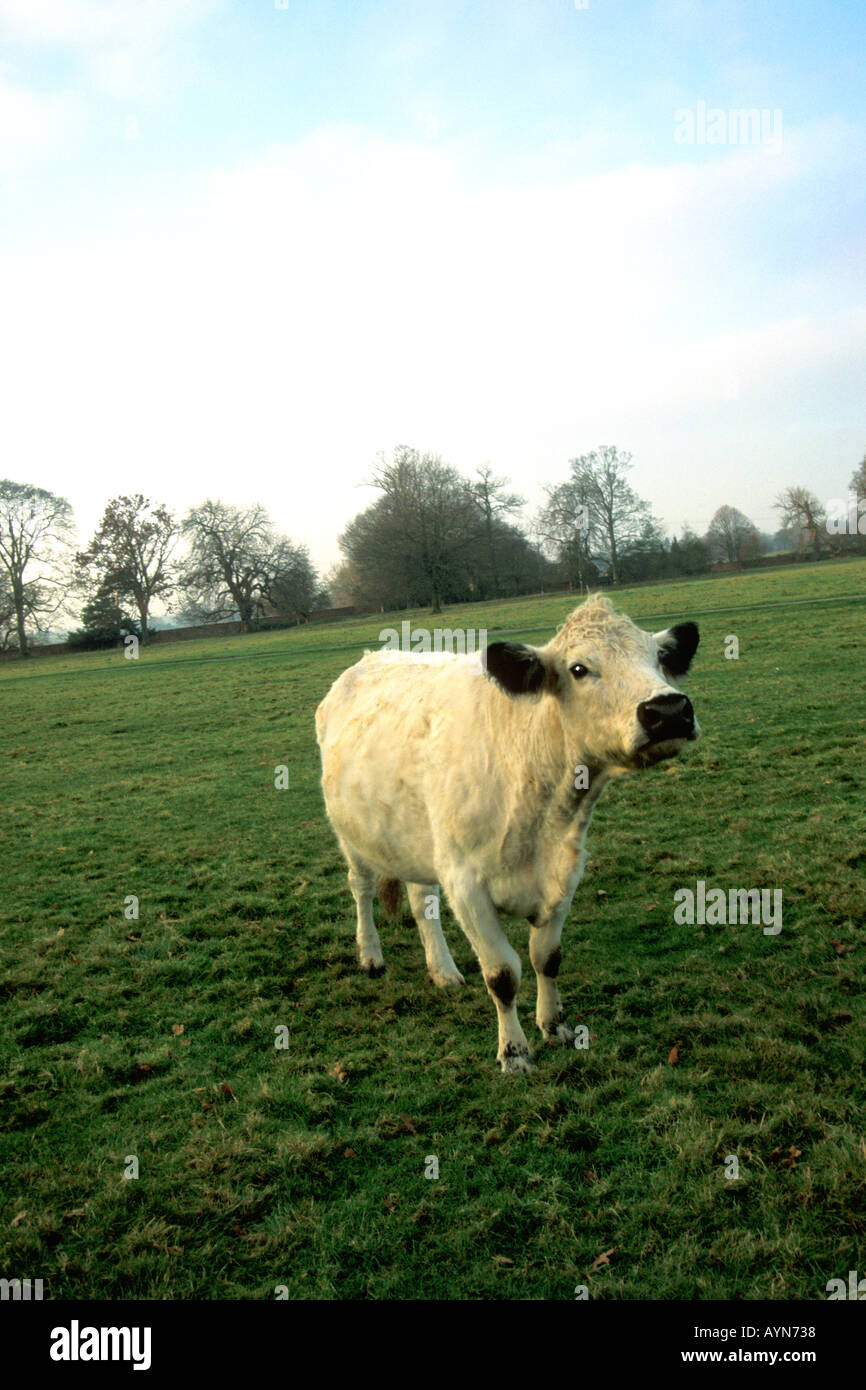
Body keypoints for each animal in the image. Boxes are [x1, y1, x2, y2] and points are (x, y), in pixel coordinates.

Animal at [315, 595, 700, 1073]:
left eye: (659, 658)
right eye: (578, 668)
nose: (668, 710)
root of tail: (369, 659)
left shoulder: (565, 875)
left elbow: (546, 959)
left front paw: (555, 1026)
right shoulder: (467, 886)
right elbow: (503, 974)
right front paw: (514, 1053)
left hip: (420, 840)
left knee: (421, 902)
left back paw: (442, 970)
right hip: (352, 835)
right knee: (362, 889)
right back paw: (370, 955)